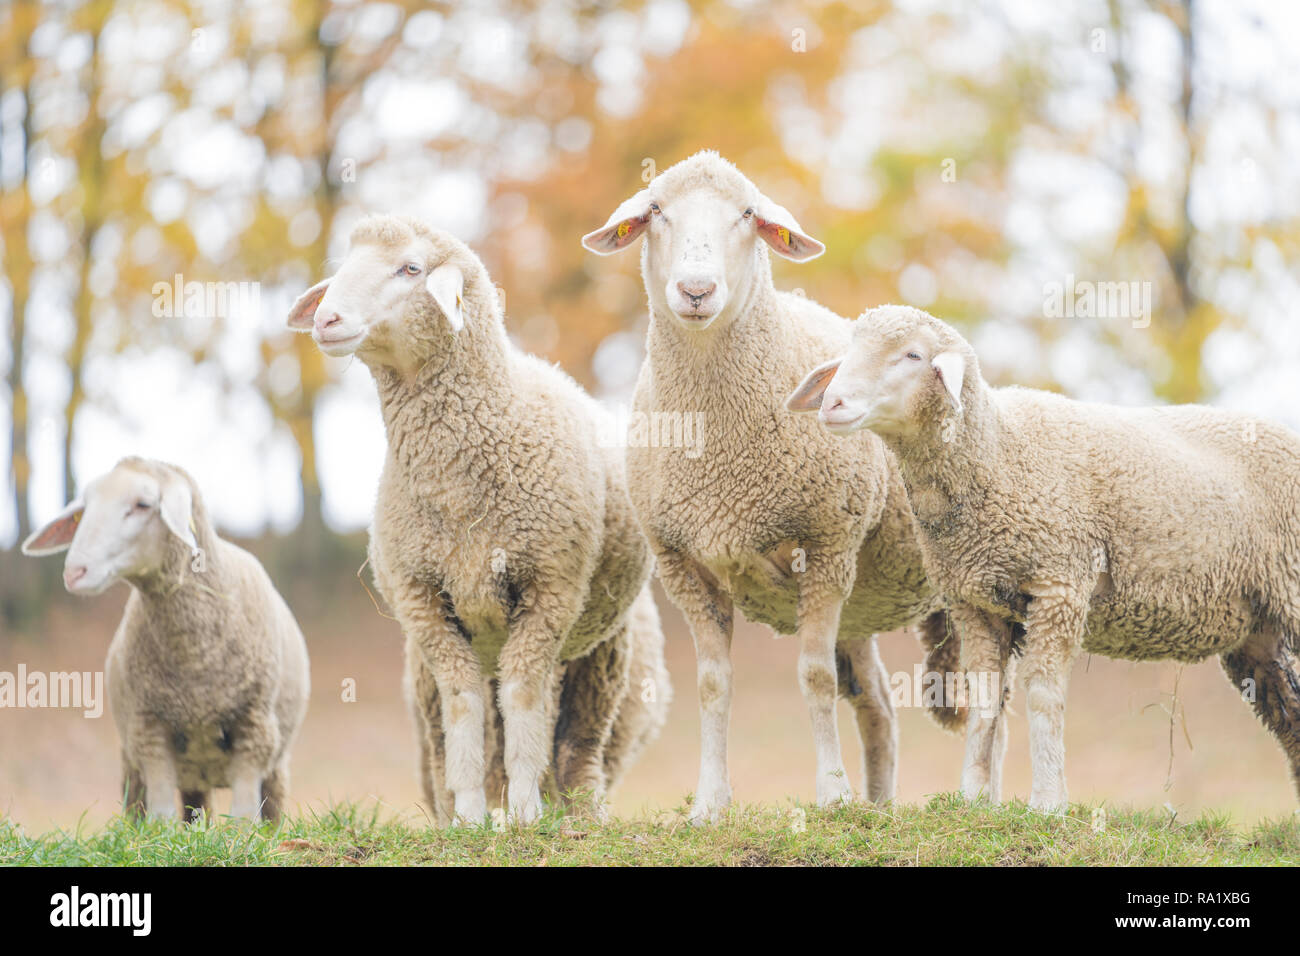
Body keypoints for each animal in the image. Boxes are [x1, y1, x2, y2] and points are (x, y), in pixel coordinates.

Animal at [21, 457, 310, 823]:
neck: (195, 659)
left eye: (143, 505)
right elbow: (161, 818)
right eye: (83, 511)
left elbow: (245, 816)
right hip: (142, 766)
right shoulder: (149, 732)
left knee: (270, 811)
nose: (75, 572)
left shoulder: (254, 730)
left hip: (275, 765)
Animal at [286, 214, 668, 824]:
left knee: (579, 738)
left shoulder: (548, 592)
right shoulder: (425, 605)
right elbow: (462, 706)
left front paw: (527, 812)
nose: (326, 320)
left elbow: (523, 697)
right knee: (451, 737)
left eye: (410, 268)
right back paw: (468, 806)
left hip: (604, 650)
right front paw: (468, 817)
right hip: (429, 667)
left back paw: (574, 810)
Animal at [581, 151, 961, 823]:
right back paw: (879, 806)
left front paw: (831, 796)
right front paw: (710, 804)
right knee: (879, 708)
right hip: (860, 606)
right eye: (655, 210)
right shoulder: (683, 564)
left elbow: (814, 679)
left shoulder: (827, 546)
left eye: (747, 214)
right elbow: (712, 685)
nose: (696, 291)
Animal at [788, 303, 1300, 810]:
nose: (832, 404)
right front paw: (974, 798)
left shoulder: (1059, 586)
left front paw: (1048, 802)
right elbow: (985, 700)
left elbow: (1042, 696)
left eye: (913, 354)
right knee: (1290, 720)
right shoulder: (975, 601)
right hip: (1260, 632)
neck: (998, 451)